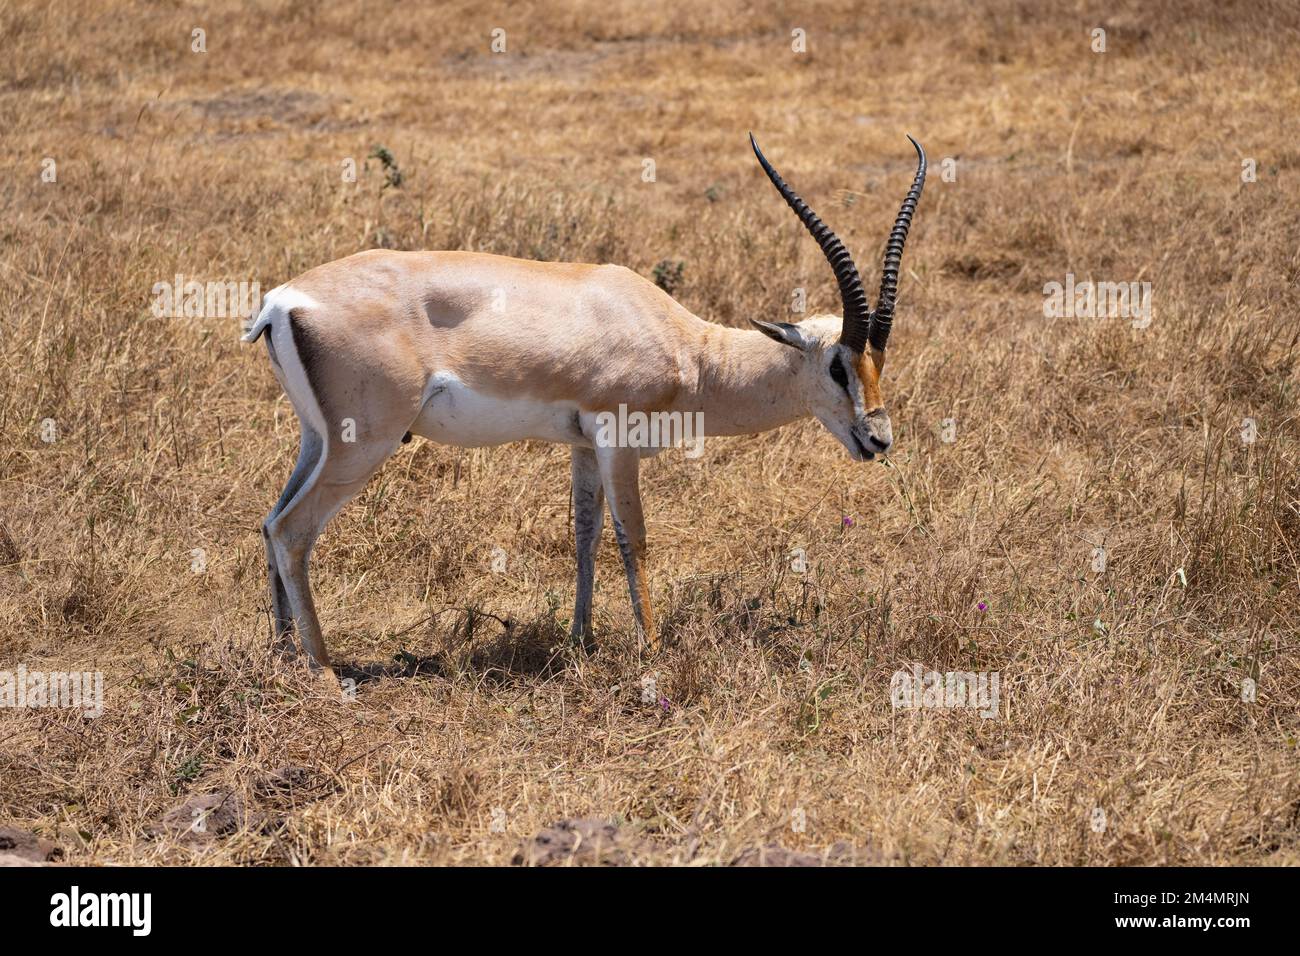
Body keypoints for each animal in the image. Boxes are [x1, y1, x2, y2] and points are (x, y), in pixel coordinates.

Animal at [243, 134, 926, 679]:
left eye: (879, 360)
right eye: (837, 365)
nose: (879, 437)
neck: (690, 349)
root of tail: (283, 301)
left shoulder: (581, 445)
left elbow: (585, 533)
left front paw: (581, 639)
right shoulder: (616, 437)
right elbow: (634, 536)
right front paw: (651, 649)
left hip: (320, 439)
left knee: (270, 521)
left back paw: (282, 655)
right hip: (365, 443)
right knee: (293, 529)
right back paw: (326, 671)